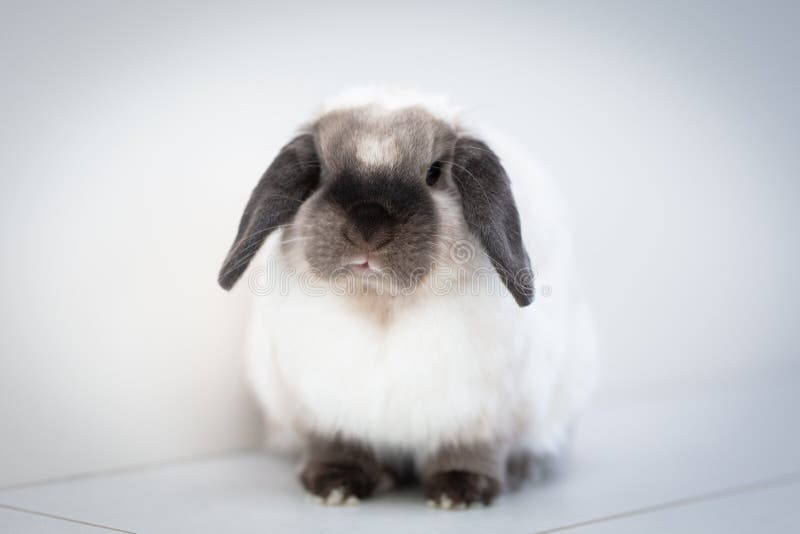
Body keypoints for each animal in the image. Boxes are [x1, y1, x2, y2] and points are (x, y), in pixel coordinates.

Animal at [218, 87, 596, 509]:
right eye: (321, 173)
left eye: (434, 172)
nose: (368, 223)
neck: (383, 307)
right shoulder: (327, 414)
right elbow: (337, 448)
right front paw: (334, 487)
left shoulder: (479, 416)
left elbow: (470, 452)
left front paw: (458, 493)